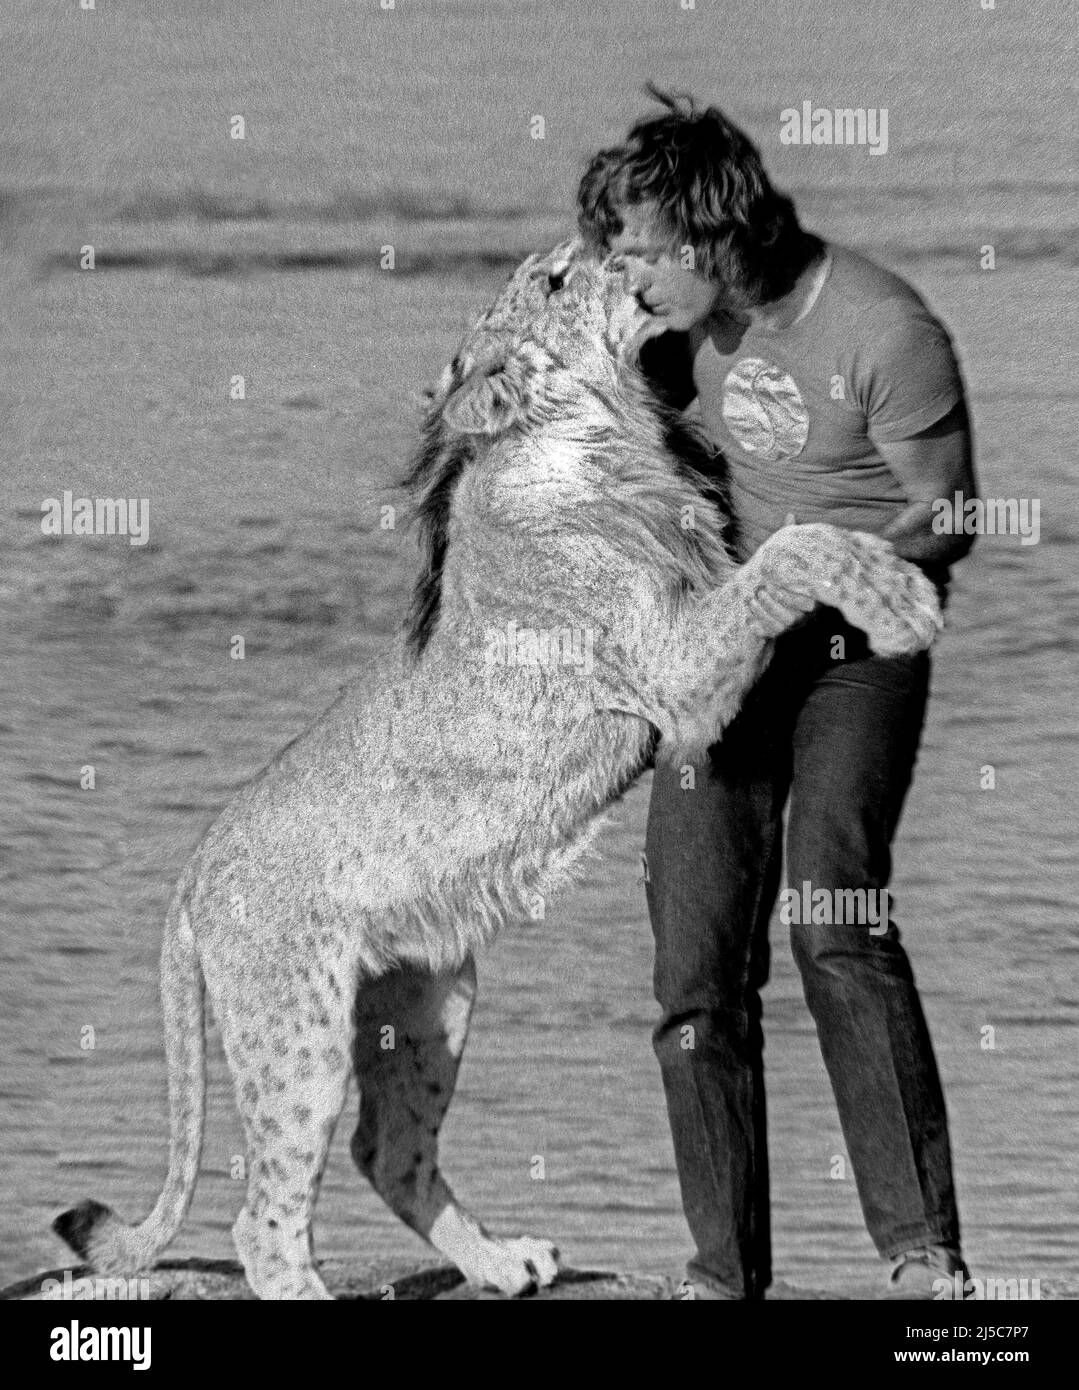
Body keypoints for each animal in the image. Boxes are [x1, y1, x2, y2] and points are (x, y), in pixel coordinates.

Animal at [53, 239, 943, 1299]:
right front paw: (902, 600)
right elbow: (792, 550)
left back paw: (506, 1259)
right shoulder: (672, 673)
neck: (599, 435)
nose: (627, 249)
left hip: (431, 1001)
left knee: (388, 1152)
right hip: (295, 1027)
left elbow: (800, 541)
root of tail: (190, 872)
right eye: (558, 277)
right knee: (263, 1218)